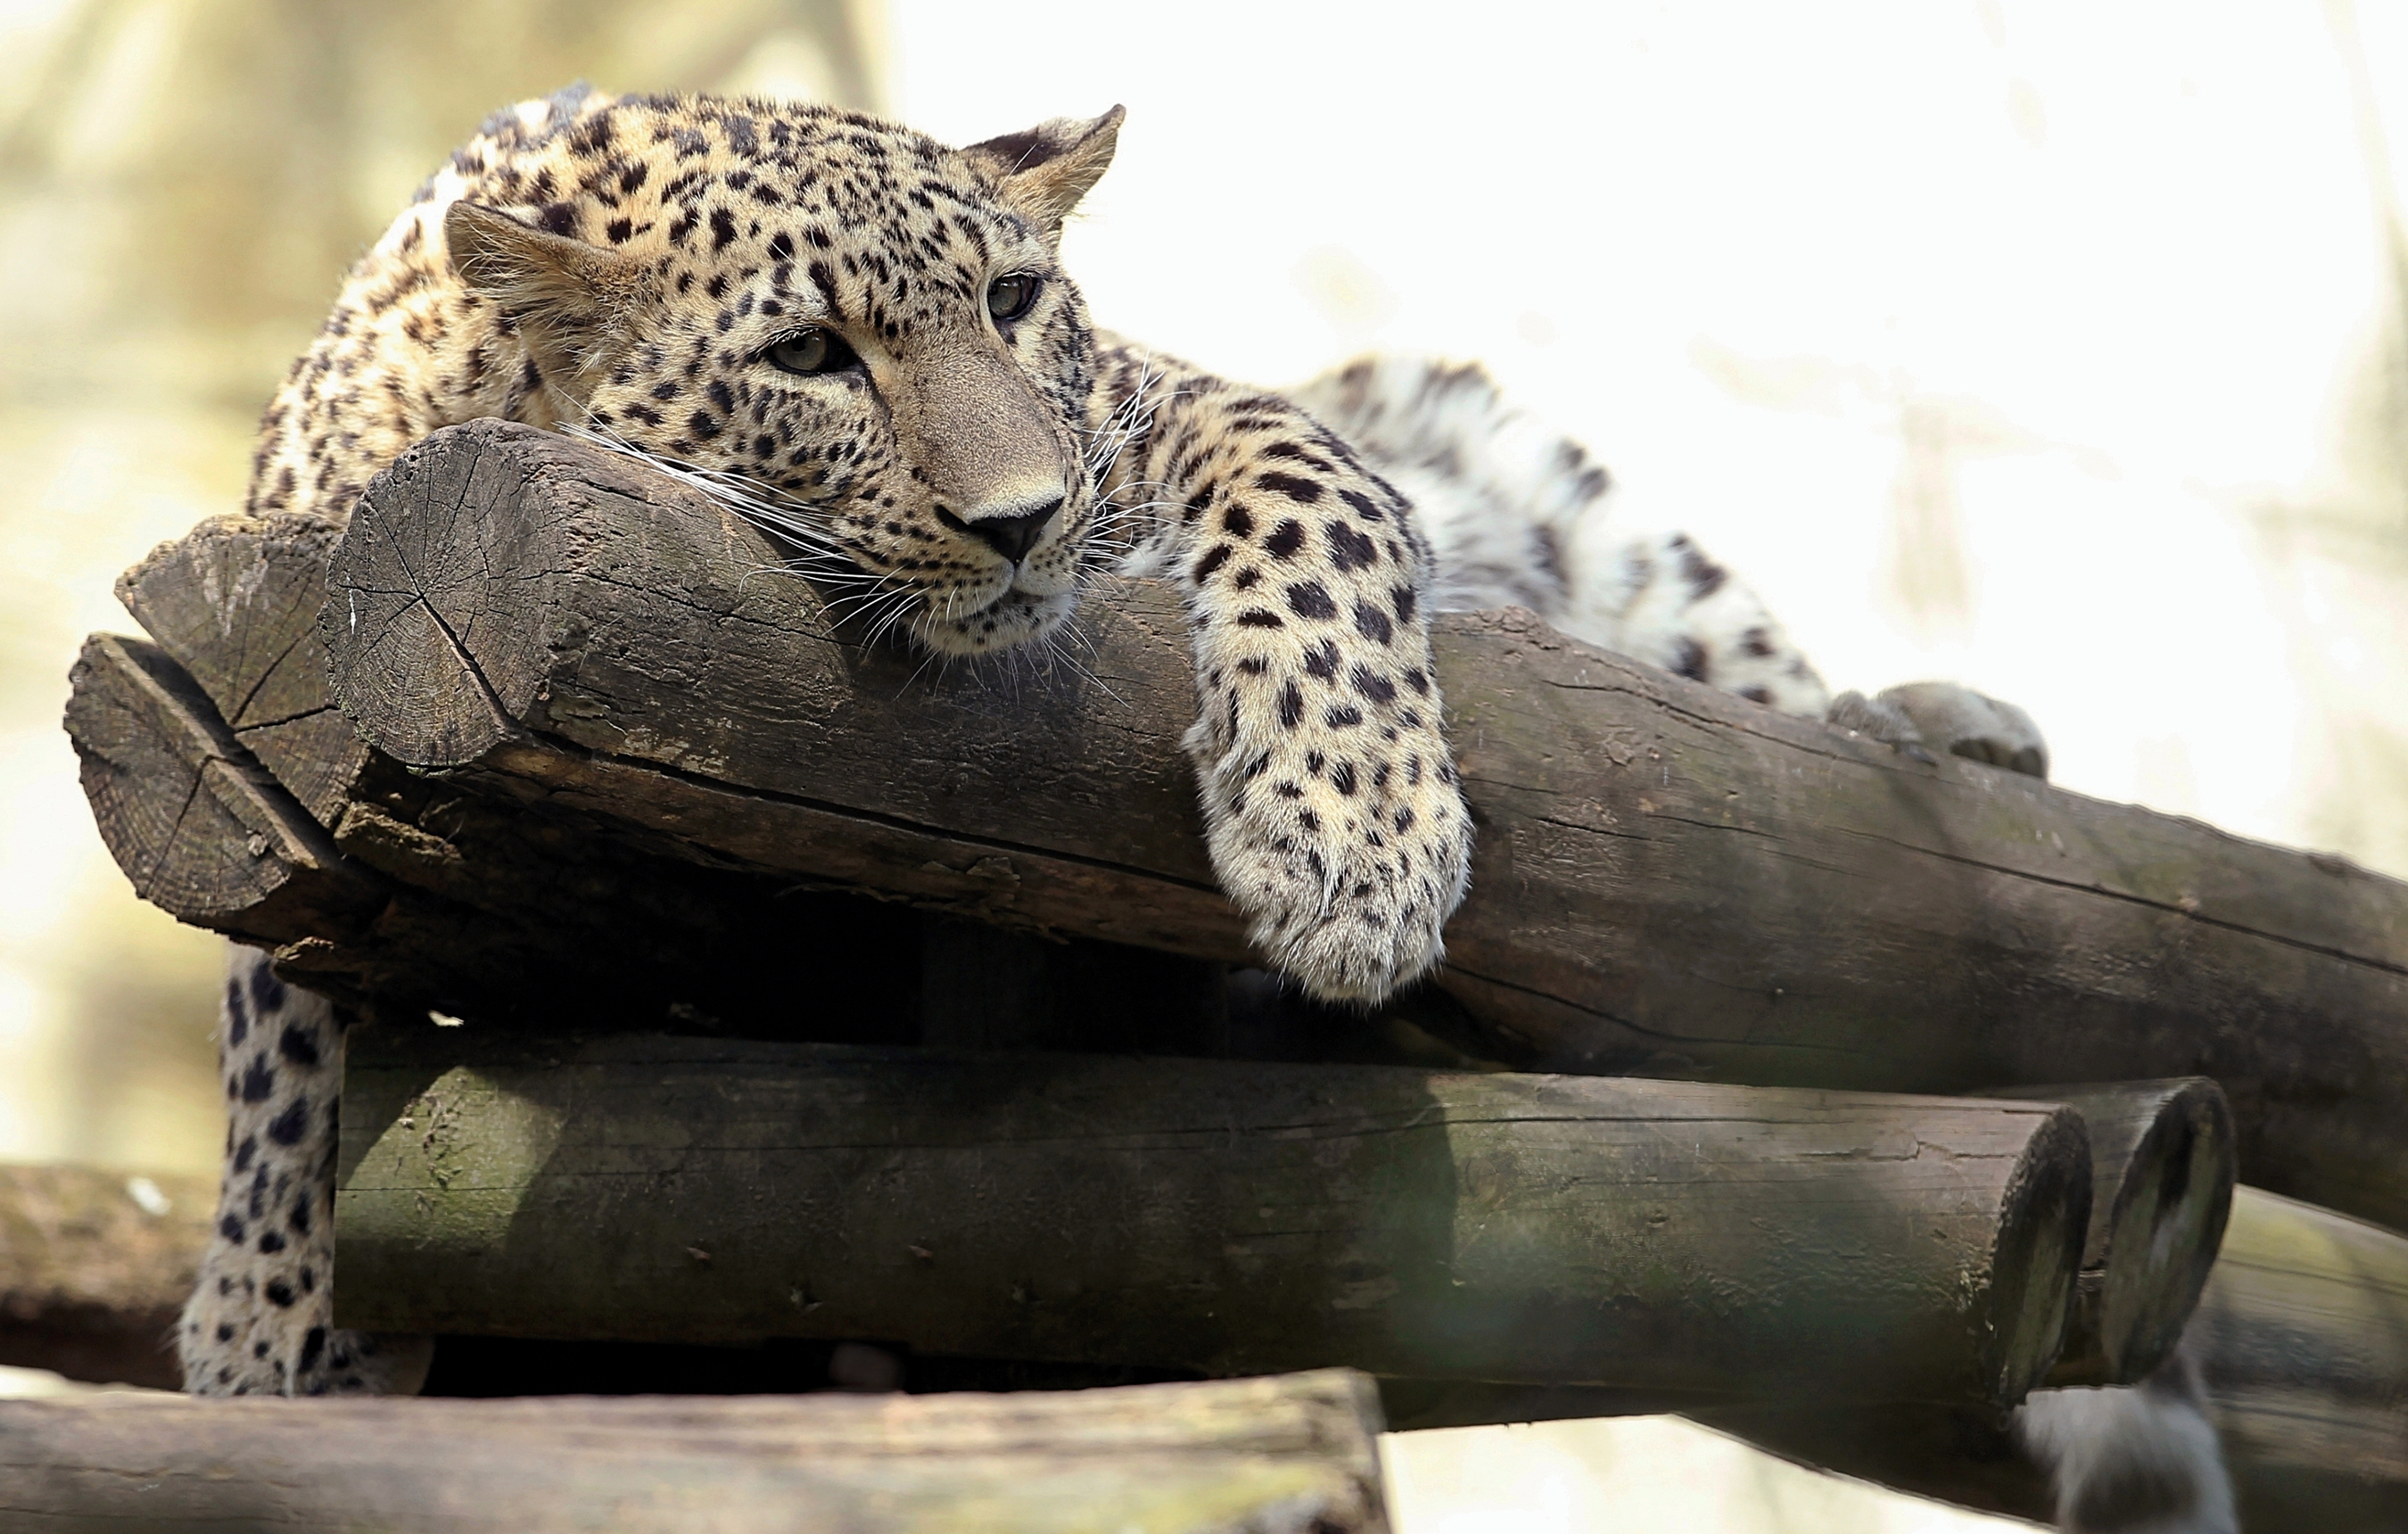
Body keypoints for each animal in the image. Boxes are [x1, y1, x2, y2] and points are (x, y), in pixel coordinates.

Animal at [173, 82, 2217, 1534]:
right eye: (811, 356)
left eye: (1015, 303)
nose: (1020, 522)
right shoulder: (284, 639)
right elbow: (276, 967)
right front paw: (268, 1311)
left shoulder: (1175, 413)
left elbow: (1312, 509)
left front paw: (1353, 845)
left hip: (1546, 481)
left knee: (1735, 668)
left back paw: (1938, 733)